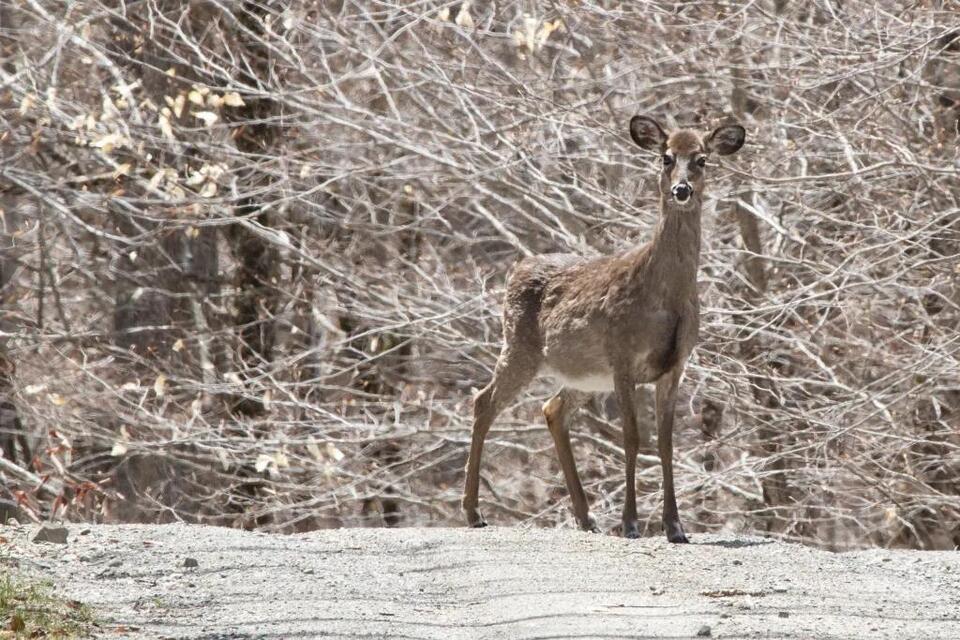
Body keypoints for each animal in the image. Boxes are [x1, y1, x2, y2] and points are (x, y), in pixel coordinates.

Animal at [461, 114, 746, 543]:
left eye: (702, 159)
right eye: (665, 157)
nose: (681, 189)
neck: (665, 297)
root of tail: (516, 268)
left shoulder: (675, 365)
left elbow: (666, 443)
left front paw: (675, 527)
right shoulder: (623, 355)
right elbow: (633, 436)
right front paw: (630, 523)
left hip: (583, 374)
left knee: (552, 408)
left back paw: (586, 517)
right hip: (520, 347)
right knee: (484, 401)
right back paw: (473, 512)